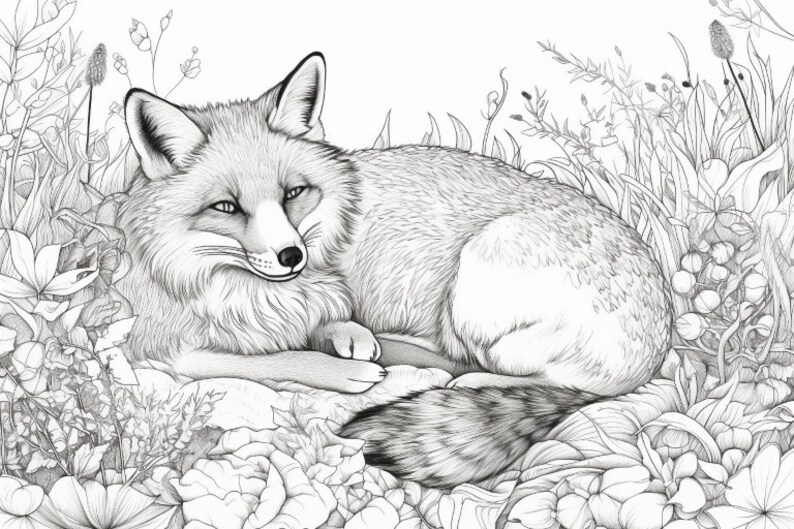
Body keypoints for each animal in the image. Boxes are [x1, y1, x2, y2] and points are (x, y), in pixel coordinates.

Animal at [117, 52, 671, 489]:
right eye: (227, 207)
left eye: (293, 193)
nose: (291, 257)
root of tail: (652, 356)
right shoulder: (166, 349)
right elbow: (277, 356)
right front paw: (343, 352)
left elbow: (282, 353)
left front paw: (345, 350)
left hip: (475, 280)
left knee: (514, 374)